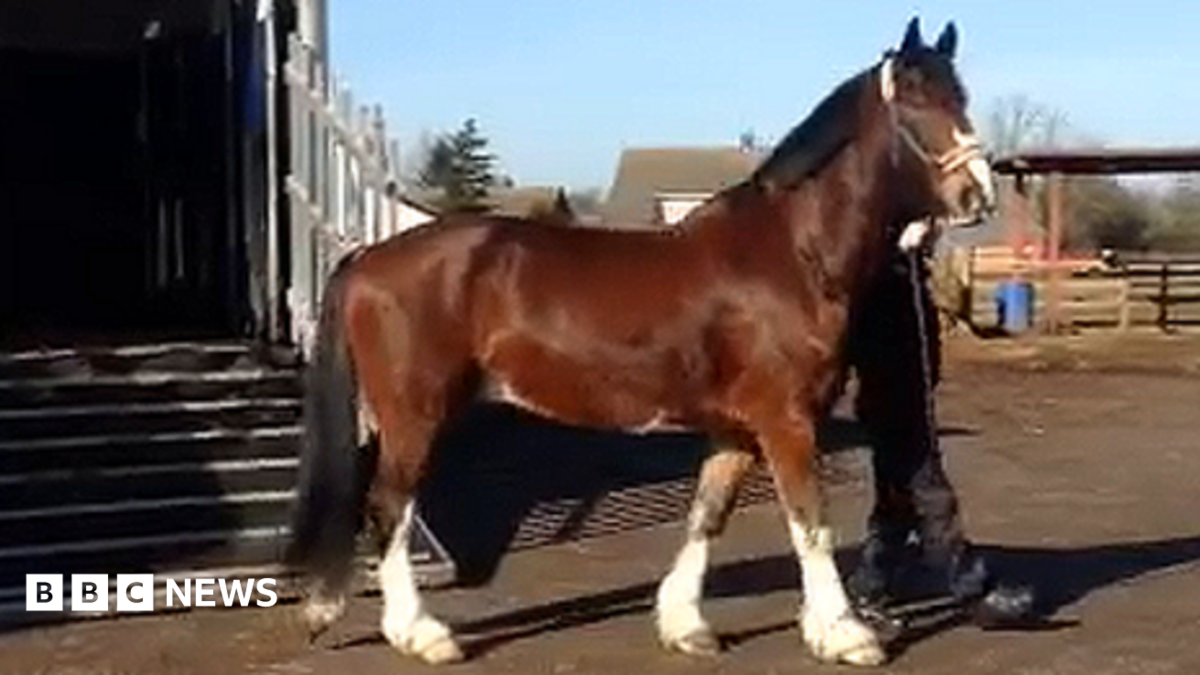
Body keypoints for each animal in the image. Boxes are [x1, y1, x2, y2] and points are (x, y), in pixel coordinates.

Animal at [290, 18, 993, 666]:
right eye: (915, 101)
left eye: (960, 96)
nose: (978, 194)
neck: (792, 253)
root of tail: (368, 258)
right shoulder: (787, 422)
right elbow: (810, 523)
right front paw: (844, 634)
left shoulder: (736, 429)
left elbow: (707, 516)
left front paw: (686, 624)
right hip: (414, 415)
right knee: (389, 508)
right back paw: (421, 633)